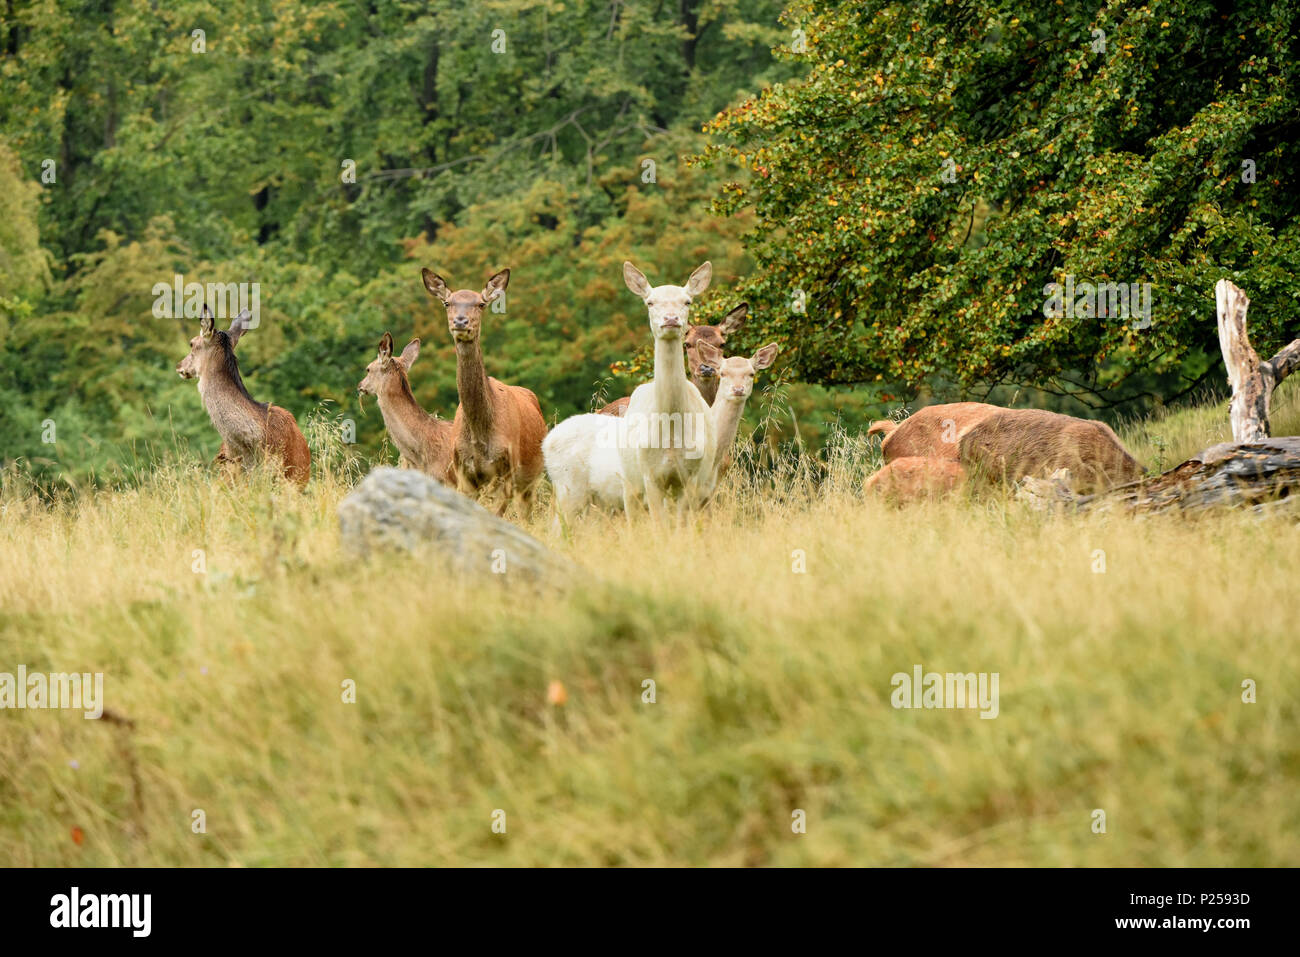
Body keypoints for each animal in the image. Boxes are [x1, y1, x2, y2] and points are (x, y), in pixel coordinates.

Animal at [420, 267, 547, 516]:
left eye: (480, 304)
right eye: (447, 303)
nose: (460, 321)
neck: (480, 438)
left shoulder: (506, 472)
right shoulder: (463, 474)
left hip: (531, 477)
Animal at [617, 260, 717, 520]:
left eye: (687, 301)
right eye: (650, 302)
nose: (670, 319)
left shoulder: (691, 476)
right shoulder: (649, 475)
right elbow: (659, 524)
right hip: (629, 481)